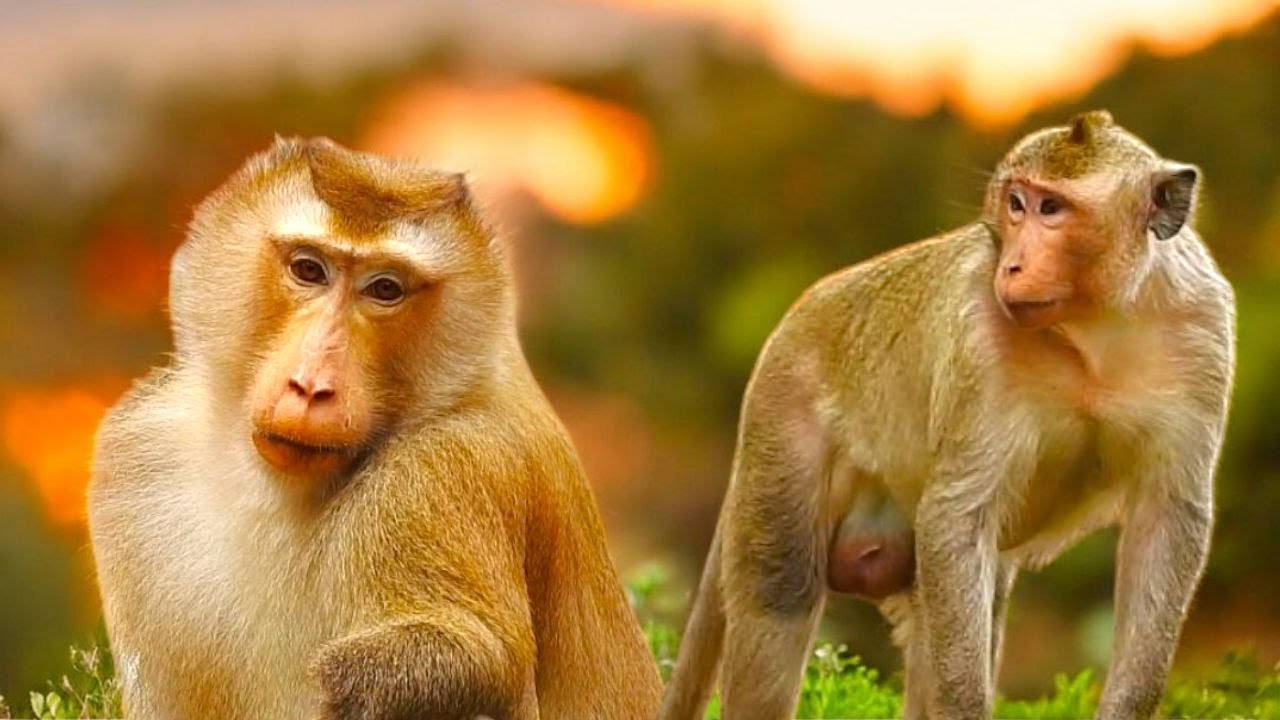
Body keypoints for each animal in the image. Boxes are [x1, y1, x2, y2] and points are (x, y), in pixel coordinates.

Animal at [87, 137, 662, 720]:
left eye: (385, 288)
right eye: (309, 269)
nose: (311, 387)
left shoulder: (436, 472)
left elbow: (478, 664)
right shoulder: (142, 455)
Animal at [660, 111, 1234, 720]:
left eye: (1052, 208)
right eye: (1016, 203)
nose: (1012, 265)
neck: (1092, 329)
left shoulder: (1202, 332)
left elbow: (1167, 518)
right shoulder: (979, 335)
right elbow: (957, 517)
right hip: (784, 411)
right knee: (782, 587)